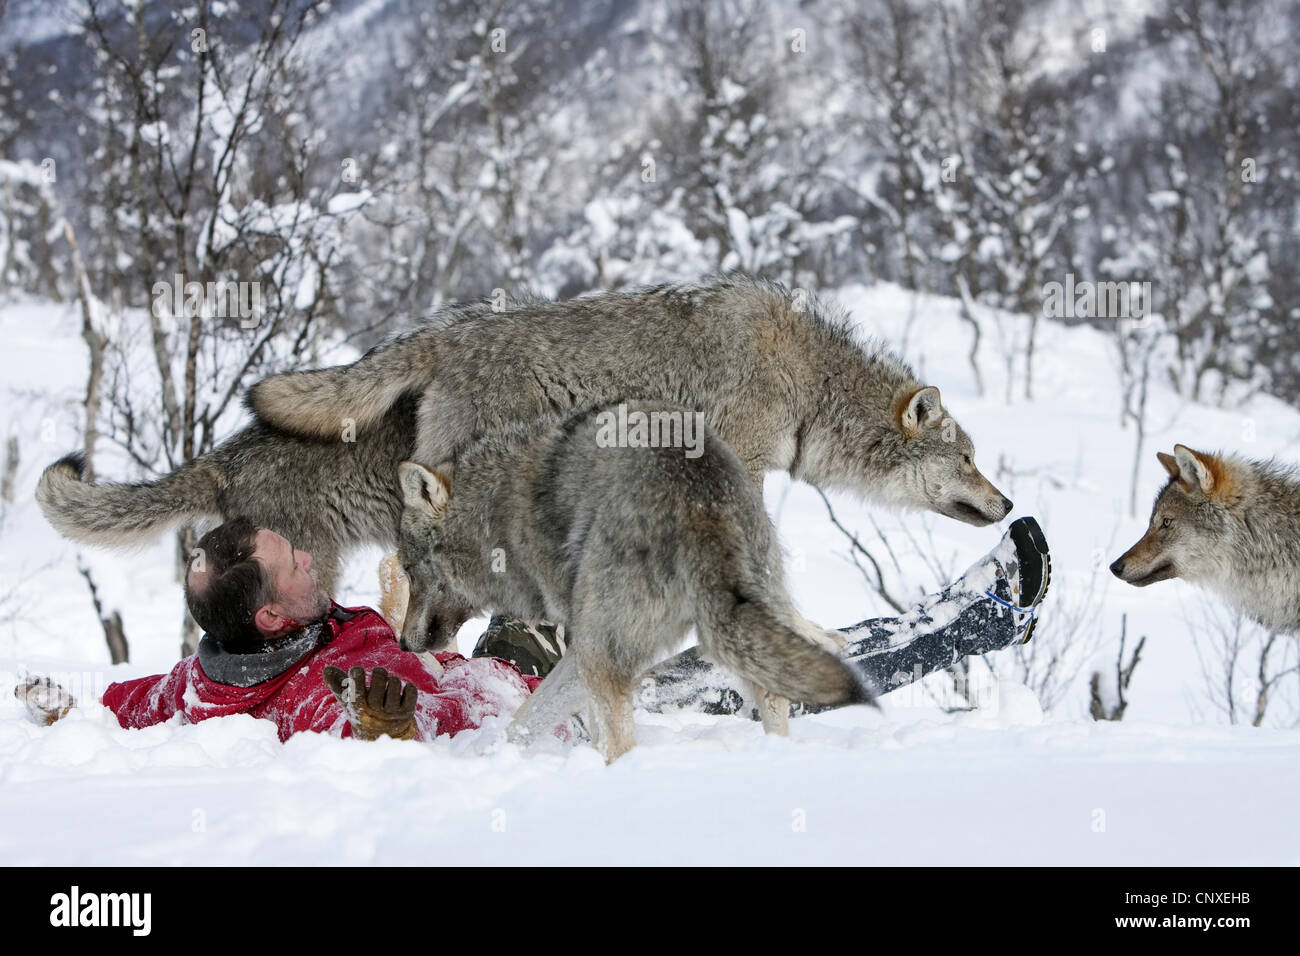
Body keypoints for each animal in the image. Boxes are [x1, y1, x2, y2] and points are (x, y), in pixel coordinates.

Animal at [390, 400, 868, 759]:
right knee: (776, 699)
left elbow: (528, 721)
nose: (403, 643)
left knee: (623, 747)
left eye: (409, 569)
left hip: (604, 655)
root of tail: (699, 501)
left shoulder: (583, 648)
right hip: (741, 637)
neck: (493, 514)